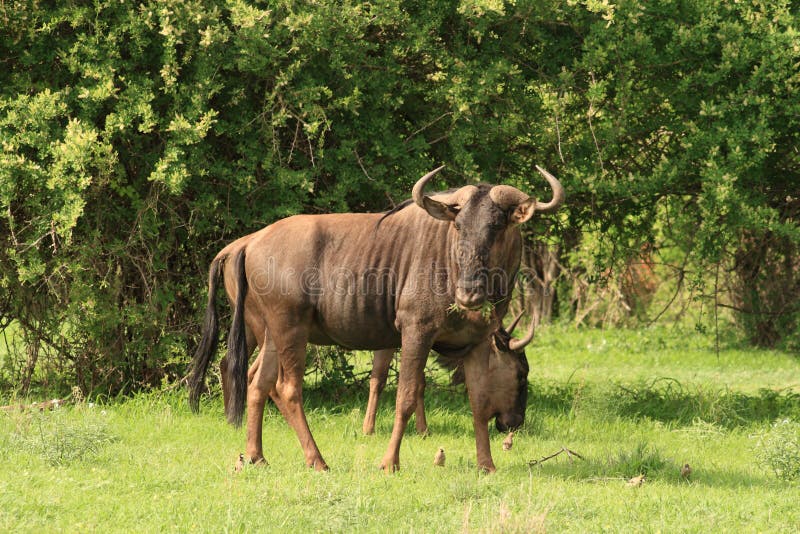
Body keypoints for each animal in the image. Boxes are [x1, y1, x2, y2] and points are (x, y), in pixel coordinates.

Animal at [188, 165, 563, 472]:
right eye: (458, 225)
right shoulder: (414, 333)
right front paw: (389, 462)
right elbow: (406, 395)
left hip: (271, 335)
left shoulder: (476, 343)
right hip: (289, 330)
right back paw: (317, 460)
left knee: (257, 384)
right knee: (286, 388)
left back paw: (256, 457)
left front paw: (487, 465)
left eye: (498, 225)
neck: (449, 262)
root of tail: (250, 242)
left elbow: (478, 403)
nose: (516, 422)